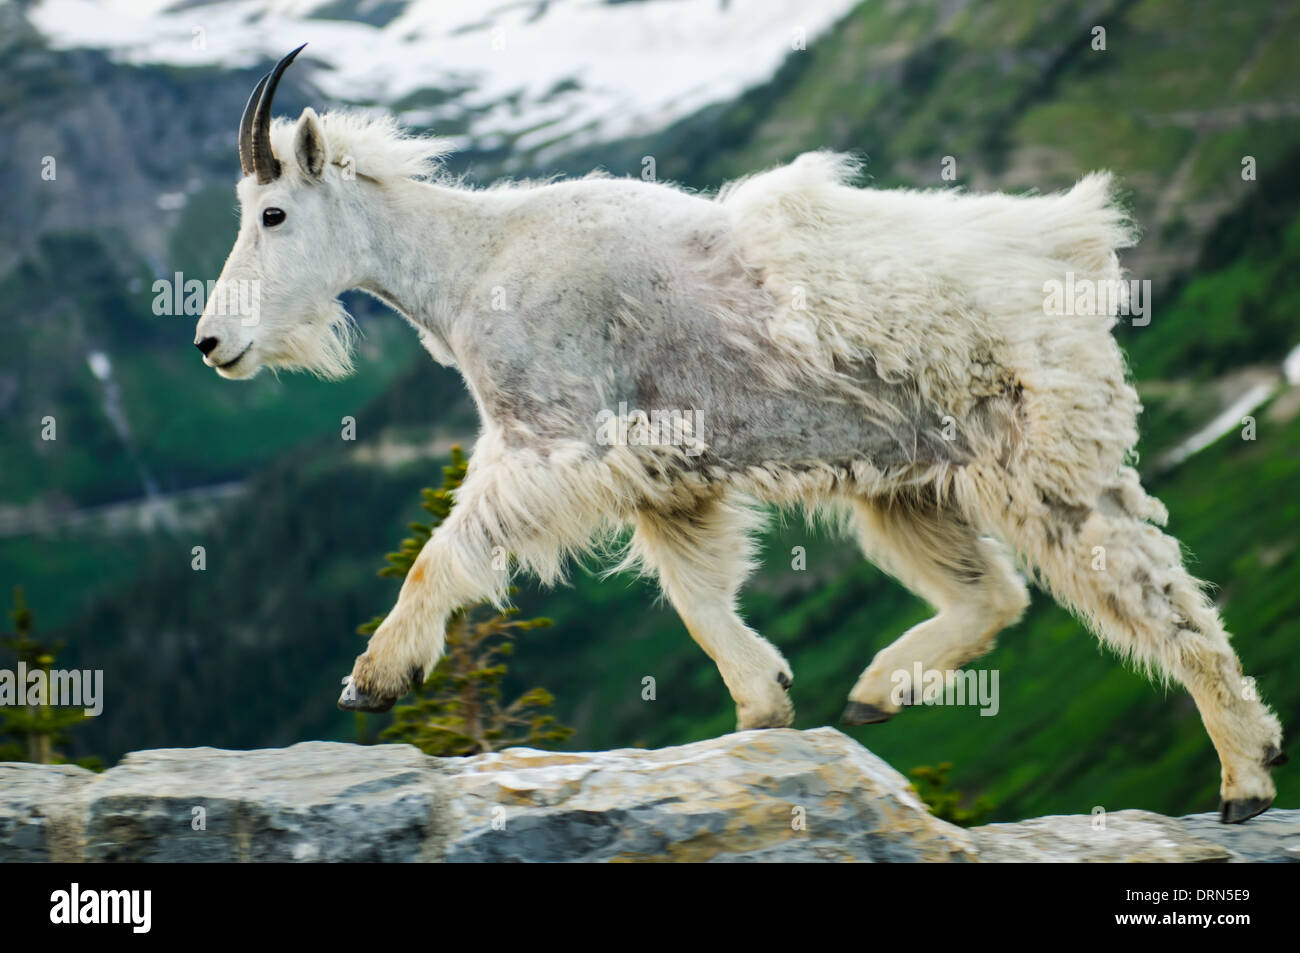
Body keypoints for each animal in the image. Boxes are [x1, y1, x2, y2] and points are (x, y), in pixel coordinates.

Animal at [195, 46, 1285, 822]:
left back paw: (1246, 774)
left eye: (274, 212)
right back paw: (876, 692)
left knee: (1162, 599)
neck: (475, 265)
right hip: (908, 483)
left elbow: (446, 551)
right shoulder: (667, 474)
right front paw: (765, 703)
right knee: (995, 593)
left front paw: (376, 676)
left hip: (1042, 460)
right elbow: (695, 593)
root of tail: (1071, 250)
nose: (211, 342)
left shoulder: (554, 441)